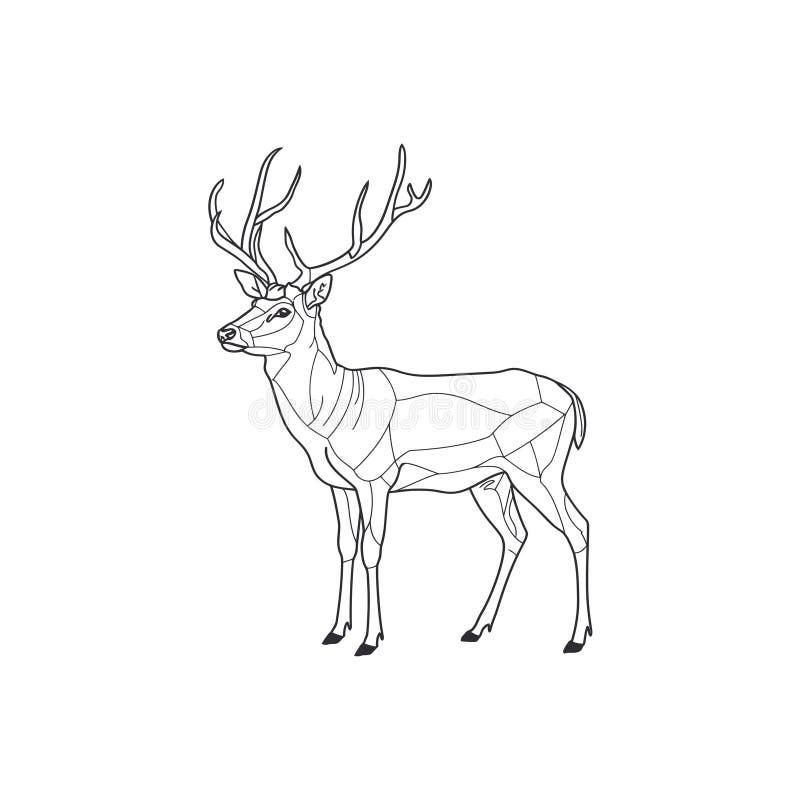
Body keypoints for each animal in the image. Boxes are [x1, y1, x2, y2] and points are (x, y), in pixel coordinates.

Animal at [210, 145, 591, 656]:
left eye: (283, 310)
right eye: (254, 302)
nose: (226, 332)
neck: (331, 418)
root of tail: (572, 397)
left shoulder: (377, 476)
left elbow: (374, 548)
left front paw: (371, 639)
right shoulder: (337, 483)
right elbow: (345, 545)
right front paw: (335, 630)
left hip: (540, 466)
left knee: (577, 528)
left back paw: (577, 636)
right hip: (492, 479)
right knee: (517, 535)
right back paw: (476, 627)